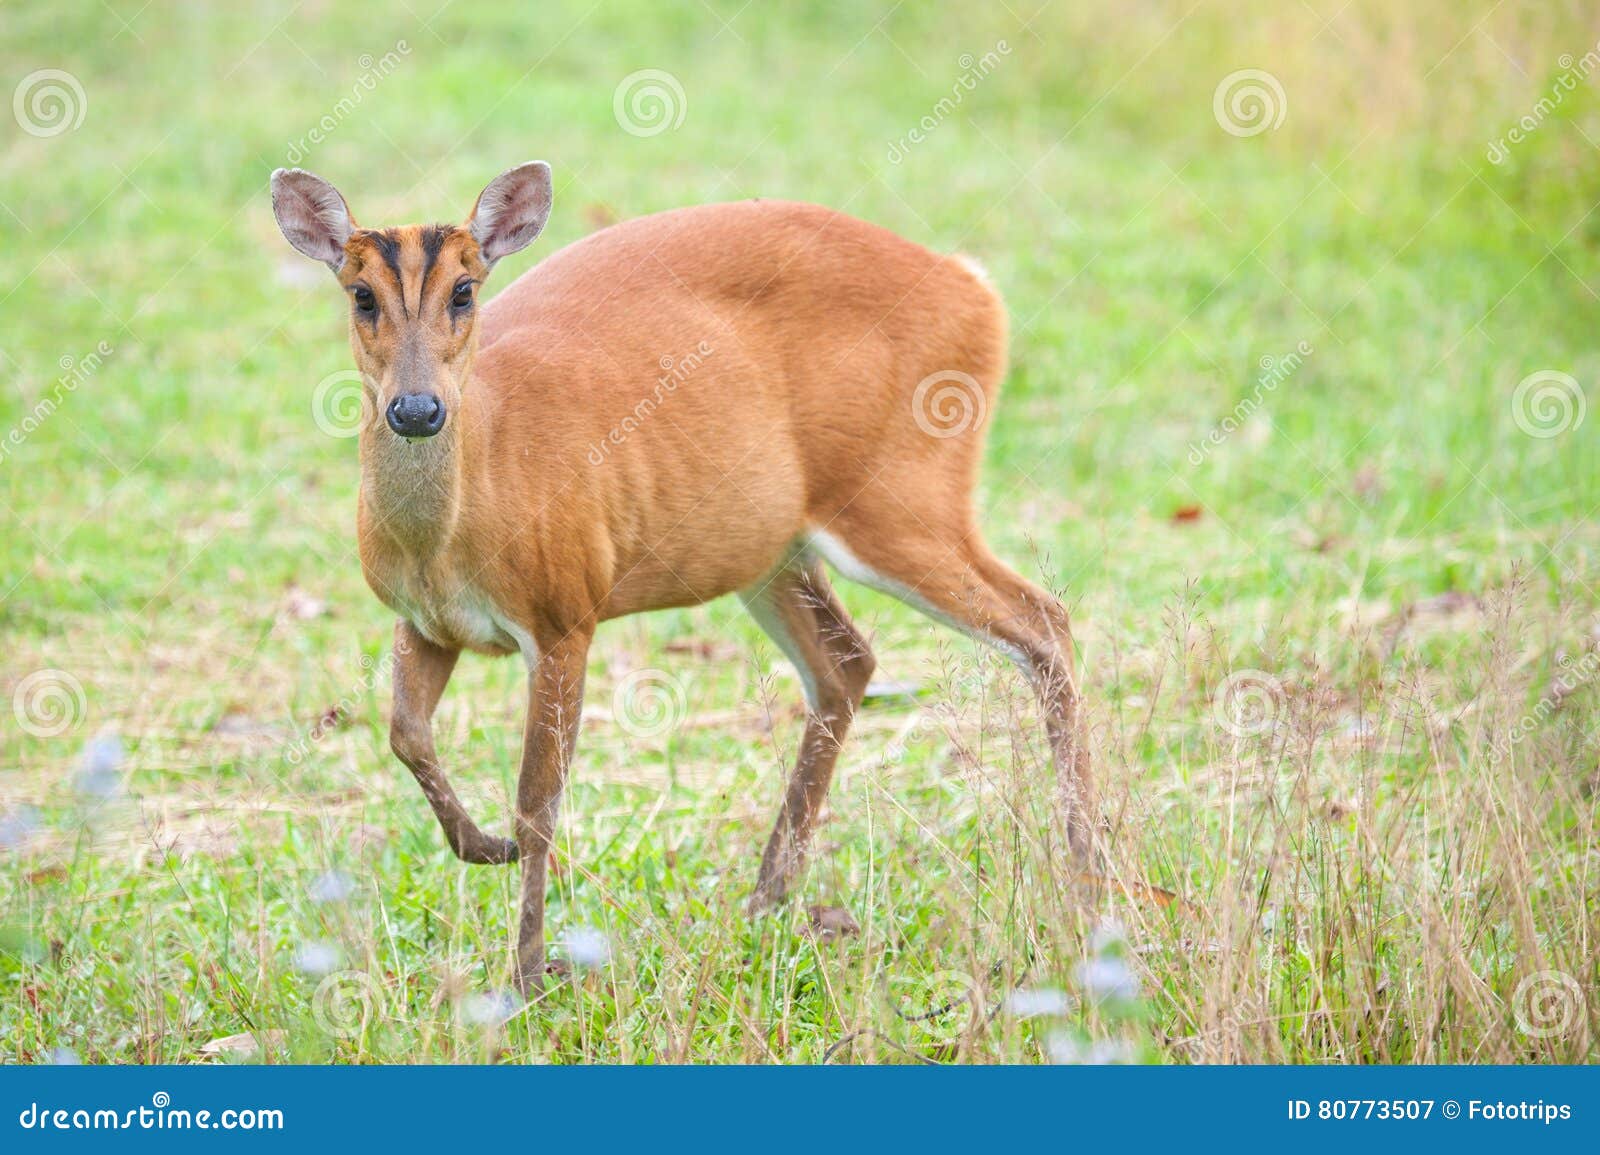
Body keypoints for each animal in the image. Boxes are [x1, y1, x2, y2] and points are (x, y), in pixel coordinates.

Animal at [270, 160, 1094, 995]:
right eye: (361, 294)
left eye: (465, 290)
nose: (416, 408)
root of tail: (974, 286)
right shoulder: (426, 622)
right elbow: (407, 735)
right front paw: (483, 847)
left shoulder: (566, 610)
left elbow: (538, 798)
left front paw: (529, 972)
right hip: (769, 549)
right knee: (848, 660)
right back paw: (767, 898)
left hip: (903, 494)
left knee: (1043, 619)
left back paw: (1085, 881)